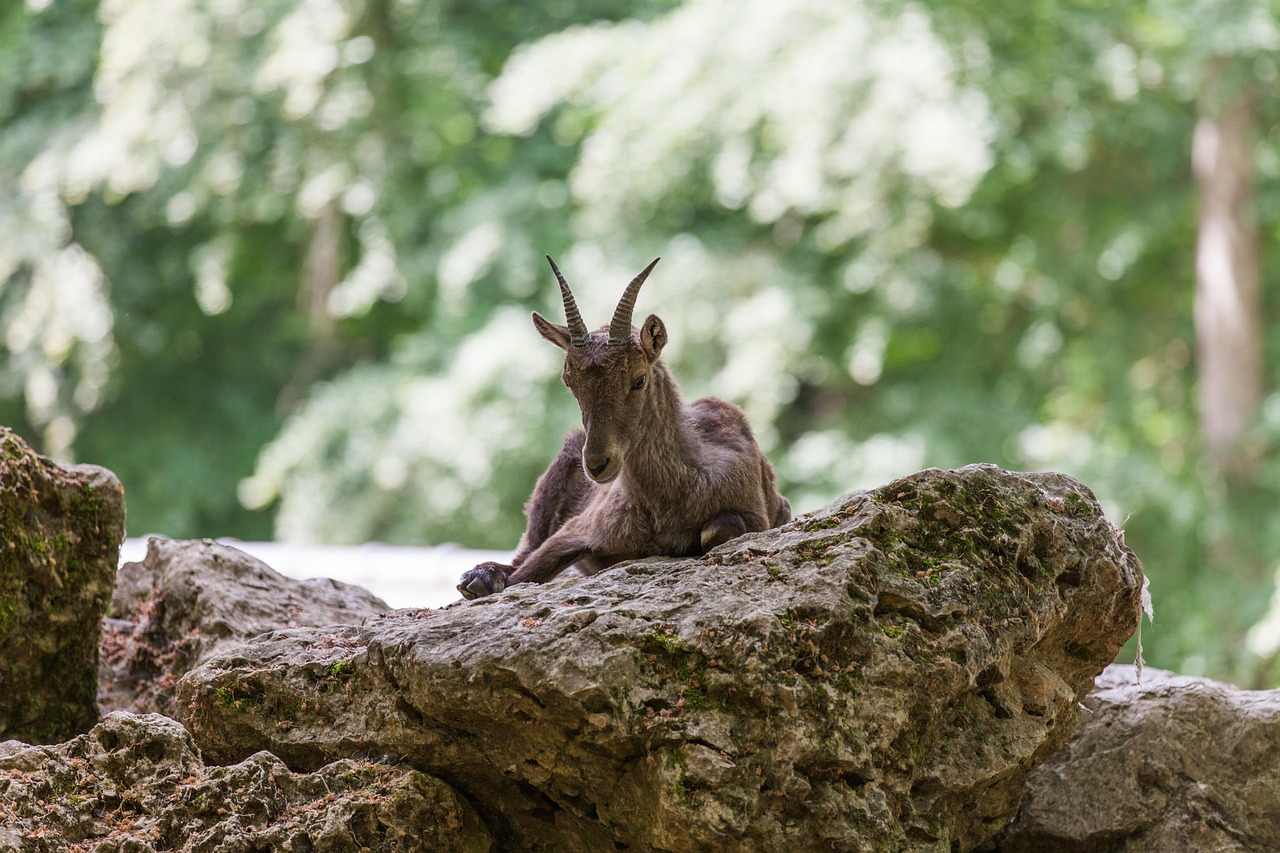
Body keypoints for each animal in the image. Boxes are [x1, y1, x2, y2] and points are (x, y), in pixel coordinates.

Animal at [457, 256, 792, 599]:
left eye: (639, 379)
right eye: (570, 382)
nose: (596, 463)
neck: (667, 501)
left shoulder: (754, 512)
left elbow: (720, 528)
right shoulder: (580, 529)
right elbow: (528, 569)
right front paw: (486, 578)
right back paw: (479, 577)